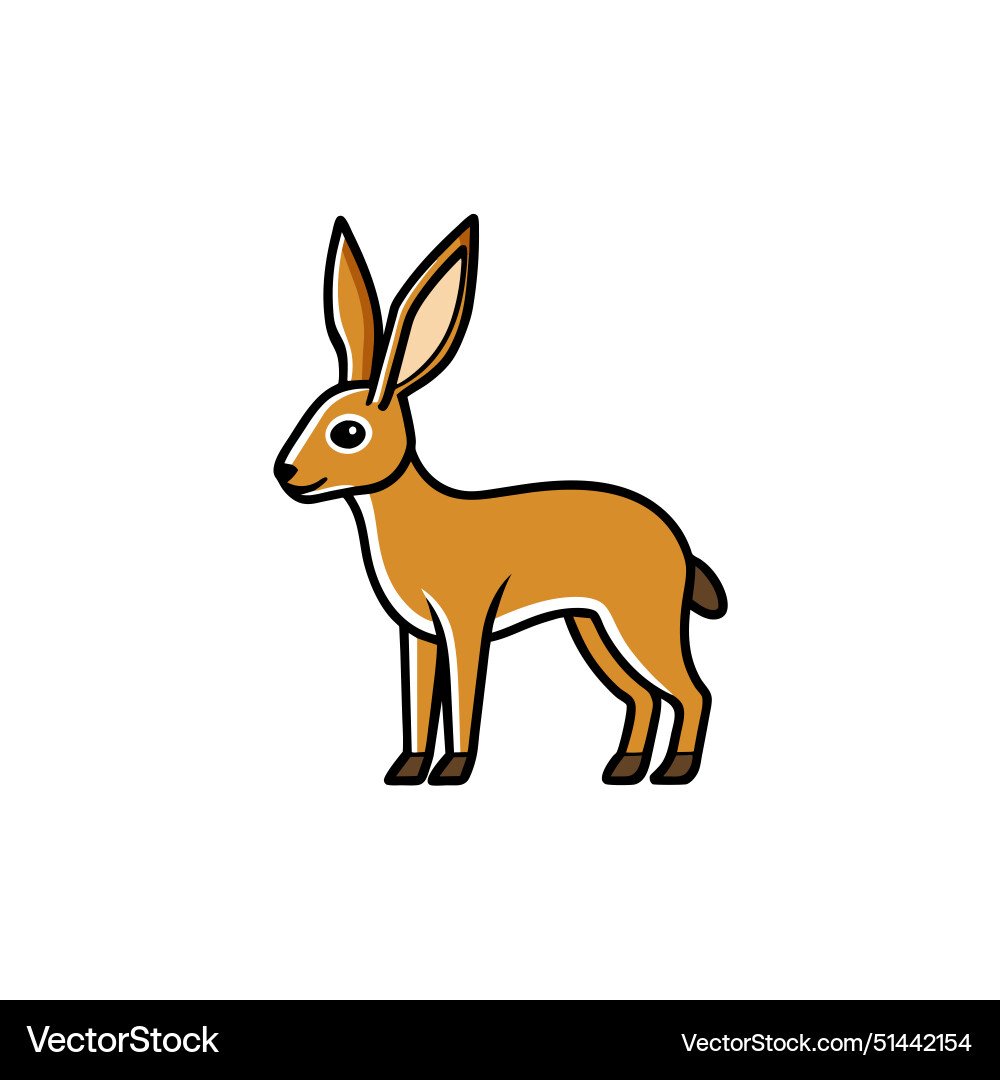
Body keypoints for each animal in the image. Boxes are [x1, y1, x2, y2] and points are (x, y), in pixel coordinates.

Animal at [274, 215, 726, 786]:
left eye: (349, 432)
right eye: (310, 411)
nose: (285, 473)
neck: (416, 517)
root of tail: (681, 544)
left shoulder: (466, 623)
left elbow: (464, 699)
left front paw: (453, 770)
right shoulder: (419, 635)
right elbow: (417, 704)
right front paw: (408, 769)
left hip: (641, 621)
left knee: (692, 691)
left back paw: (675, 770)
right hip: (593, 627)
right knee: (643, 696)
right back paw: (623, 768)